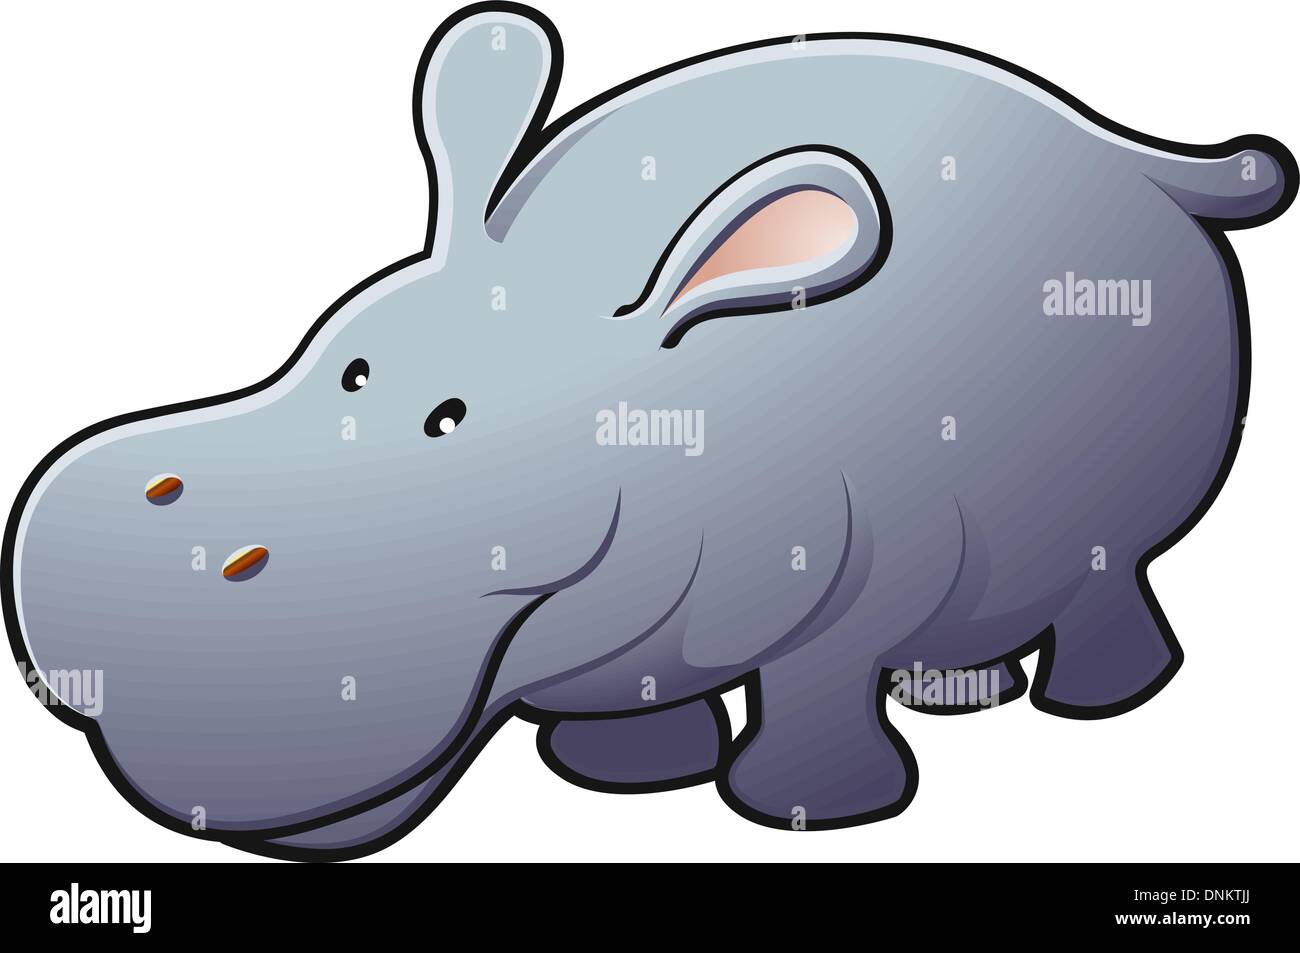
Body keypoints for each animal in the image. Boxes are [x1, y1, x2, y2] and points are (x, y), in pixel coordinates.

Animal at [5, 2, 1294, 860]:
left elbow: (817, 689)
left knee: (1107, 584)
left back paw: (1101, 704)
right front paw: (619, 785)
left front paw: (807, 813)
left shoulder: (854, 592)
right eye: (349, 361)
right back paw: (957, 689)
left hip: (1118, 518)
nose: (162, 549)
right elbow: (630, 693)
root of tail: (1129, 146)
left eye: (449, 417)